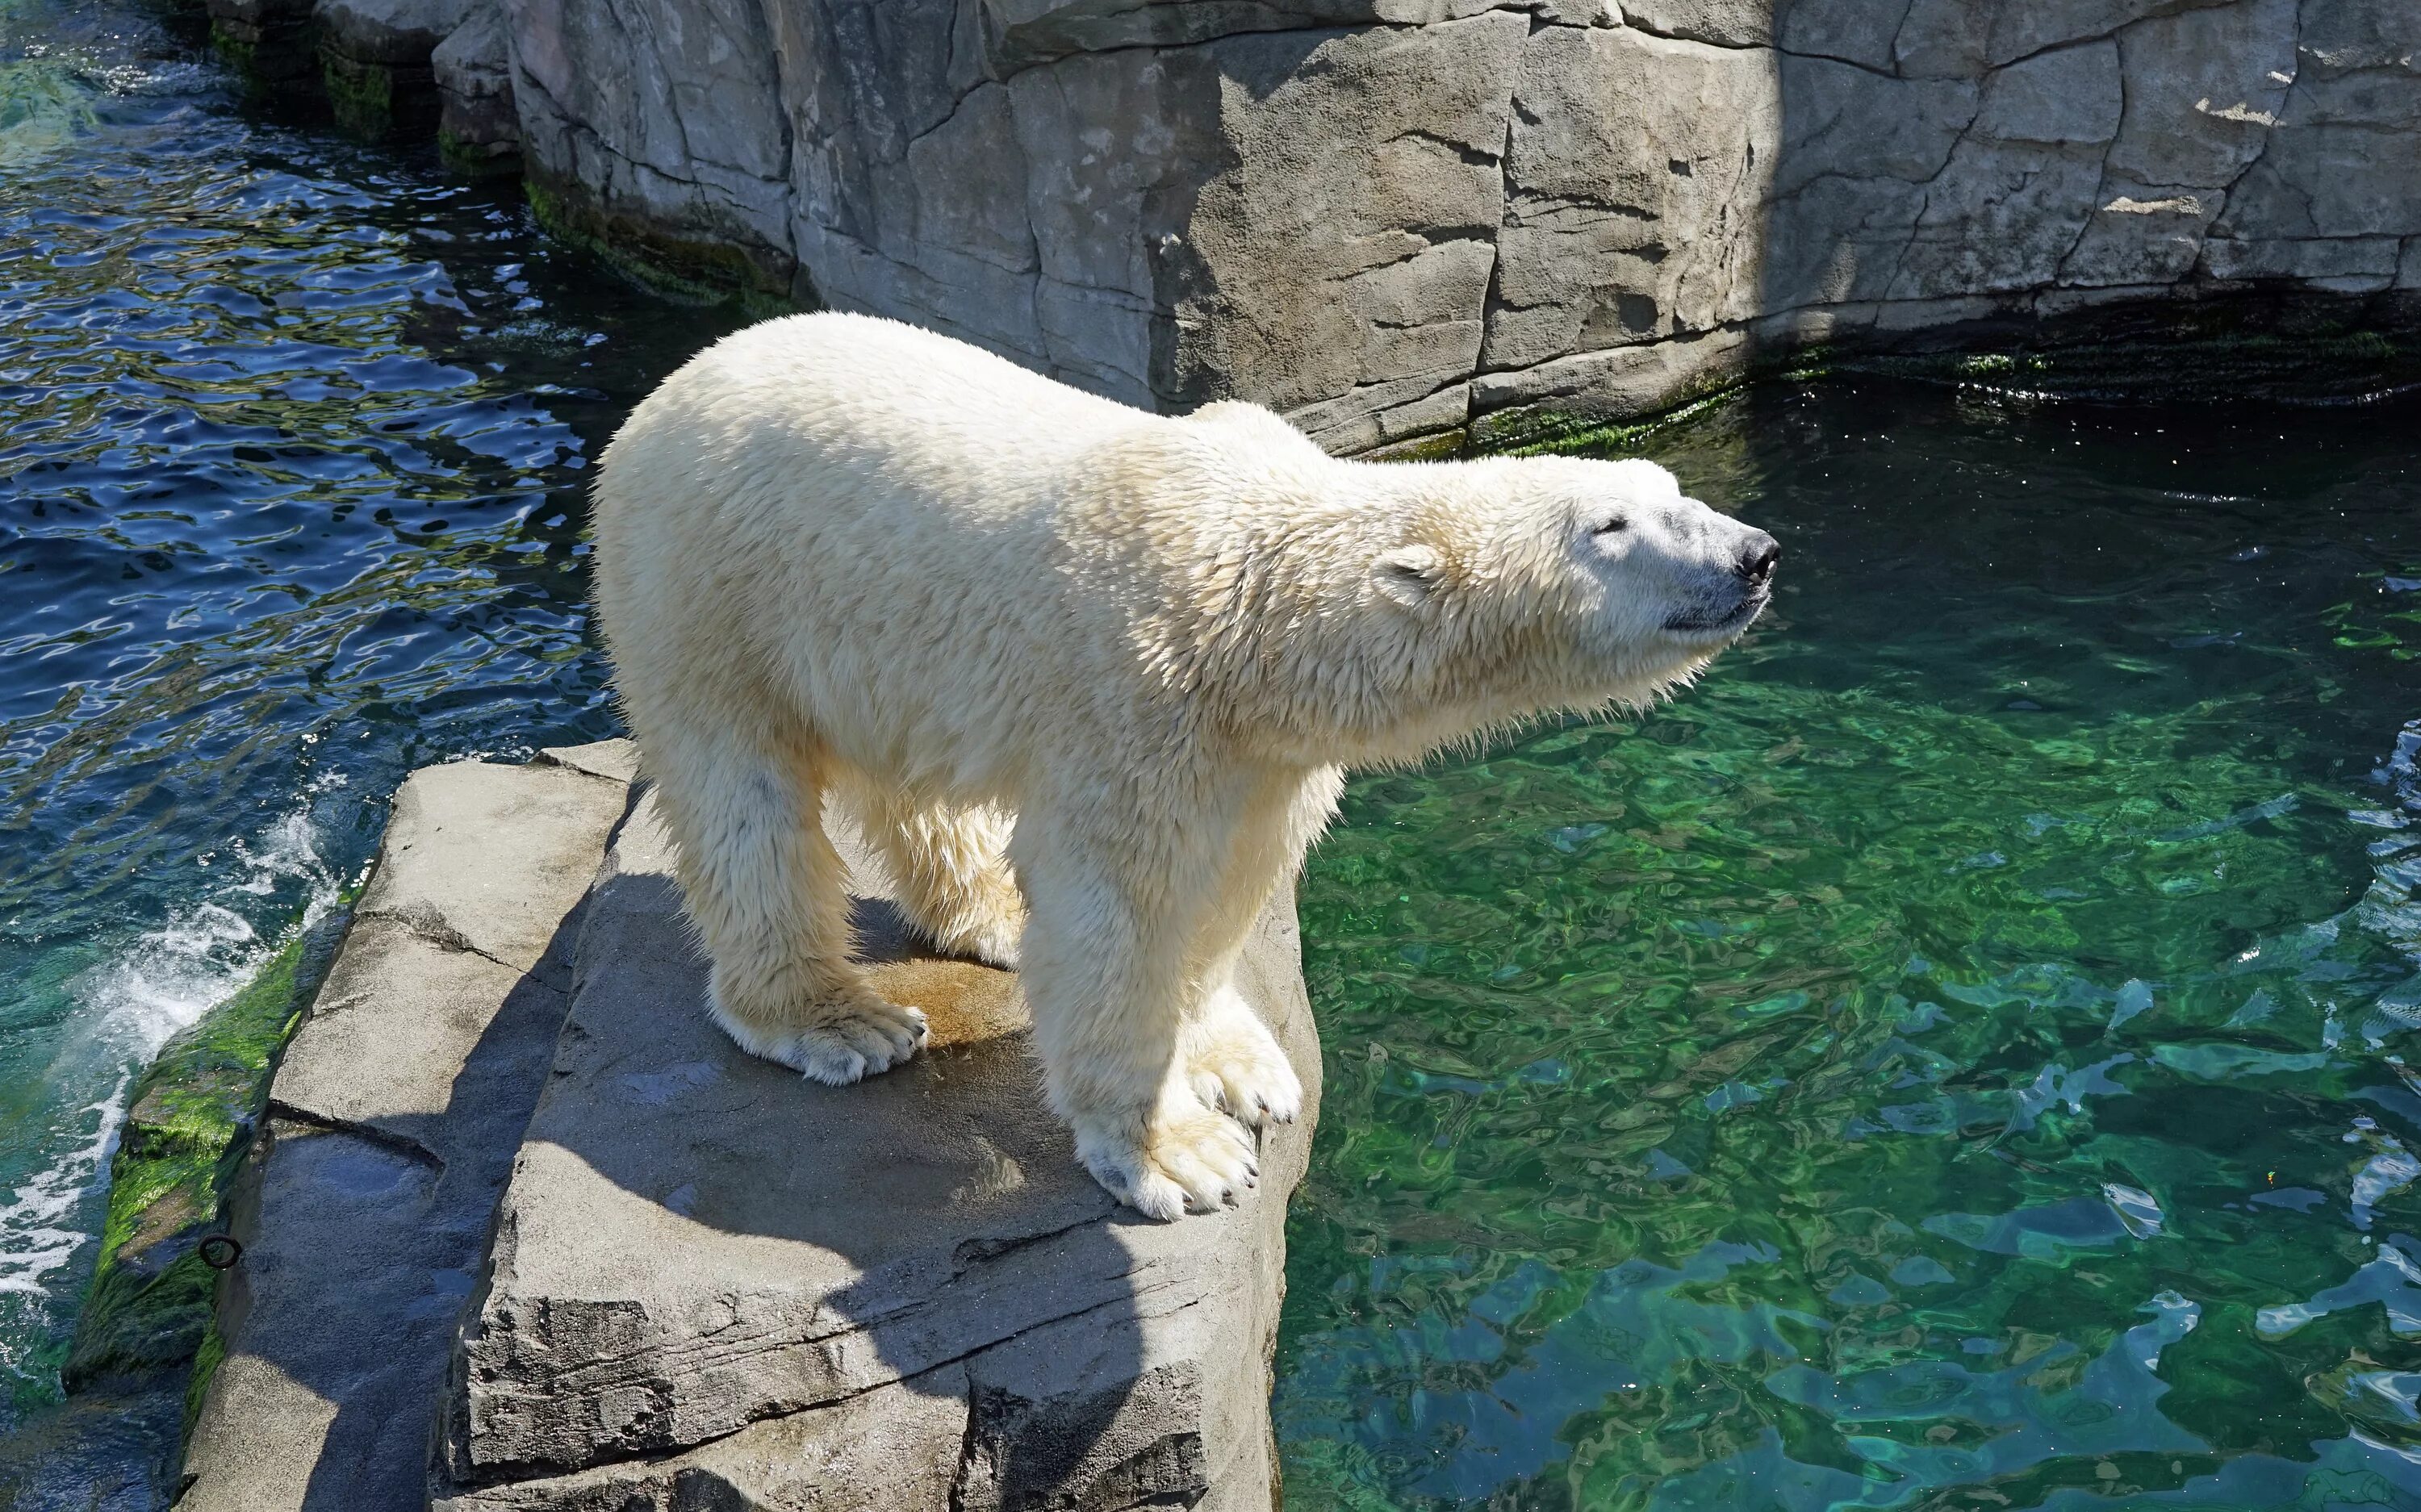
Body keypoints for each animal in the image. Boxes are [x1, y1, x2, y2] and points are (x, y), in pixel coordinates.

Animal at [588, 311, 1782, 1219]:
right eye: (1610, 524)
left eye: (1670, 484)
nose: (1756, 554)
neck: (1257, 602)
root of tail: (664, 392)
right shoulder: (1138, 691)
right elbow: (1120, 906)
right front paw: (1183, 1152)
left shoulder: (1260, 750)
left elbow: (1232, 883)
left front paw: (1242, 1065)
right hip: (706, 584)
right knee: (742, 797)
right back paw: (837, 1018)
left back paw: (990, 915)